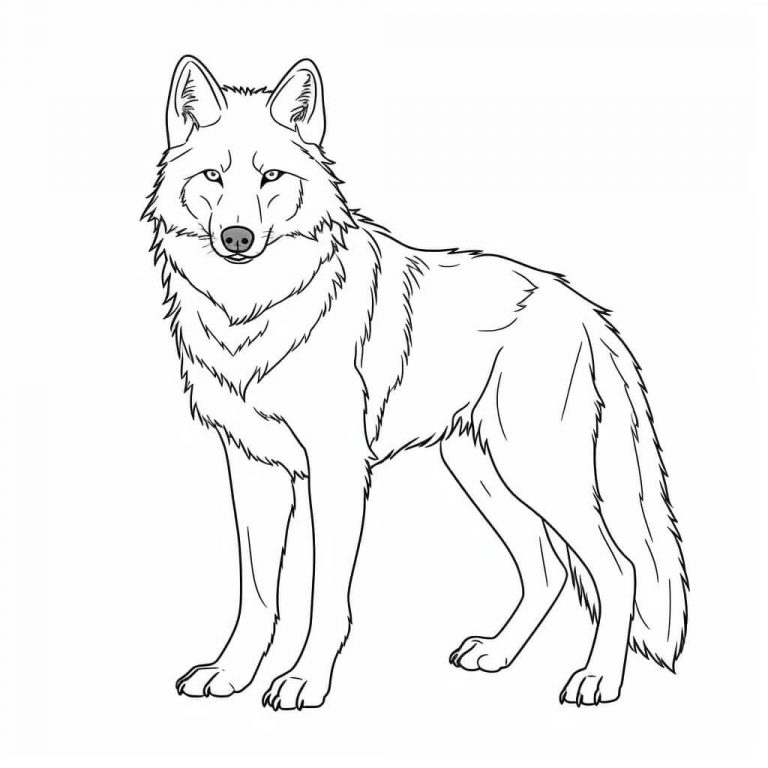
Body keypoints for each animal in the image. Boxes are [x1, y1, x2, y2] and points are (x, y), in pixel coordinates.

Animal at [143, 56, 688, 710]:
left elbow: (325, 596)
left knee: (618, 568)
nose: (237, 238)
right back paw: (495, 655)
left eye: (271, 176)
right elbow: (258, 594)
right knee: (548, 569)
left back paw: (598, 680)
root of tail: (585, 308)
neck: (253, 311)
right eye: (213, 177)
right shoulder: (251, 466)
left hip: (540, 474)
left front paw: (304, 681)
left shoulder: (337, 470)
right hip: (483, 473)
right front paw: (230, 674)